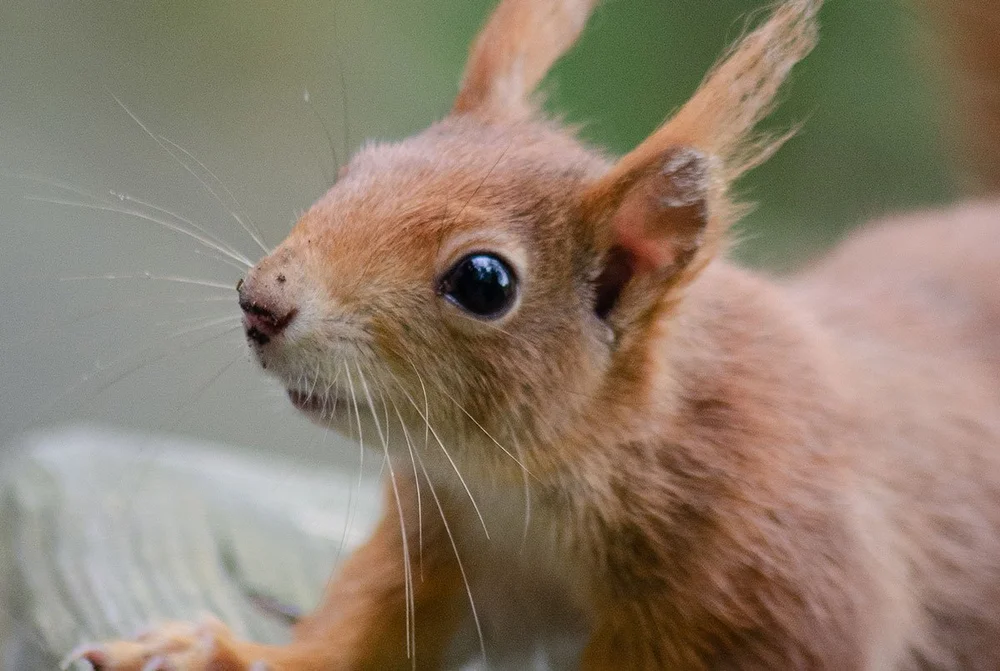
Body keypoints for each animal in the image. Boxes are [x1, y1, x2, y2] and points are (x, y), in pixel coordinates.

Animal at [70, 0, 1000, 668]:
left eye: (484, 282)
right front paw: (213, 652)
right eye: (355, 167)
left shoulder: (768, 588)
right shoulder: (447, 541)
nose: (260, 303)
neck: (525, 489)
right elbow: (369, 629)